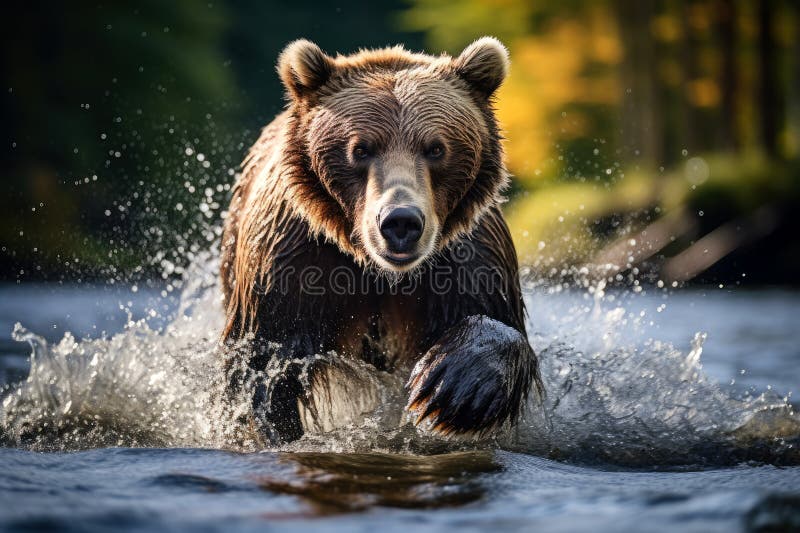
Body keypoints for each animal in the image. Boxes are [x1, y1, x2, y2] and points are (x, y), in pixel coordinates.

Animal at [220, 37, 542, 443]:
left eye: (436, 148)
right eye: (360, 148)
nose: (400, 221)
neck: (380, 272)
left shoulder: (465, 255)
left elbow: (498, 320)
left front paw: (452, 388)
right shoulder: (291, 256)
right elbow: (261, 361)